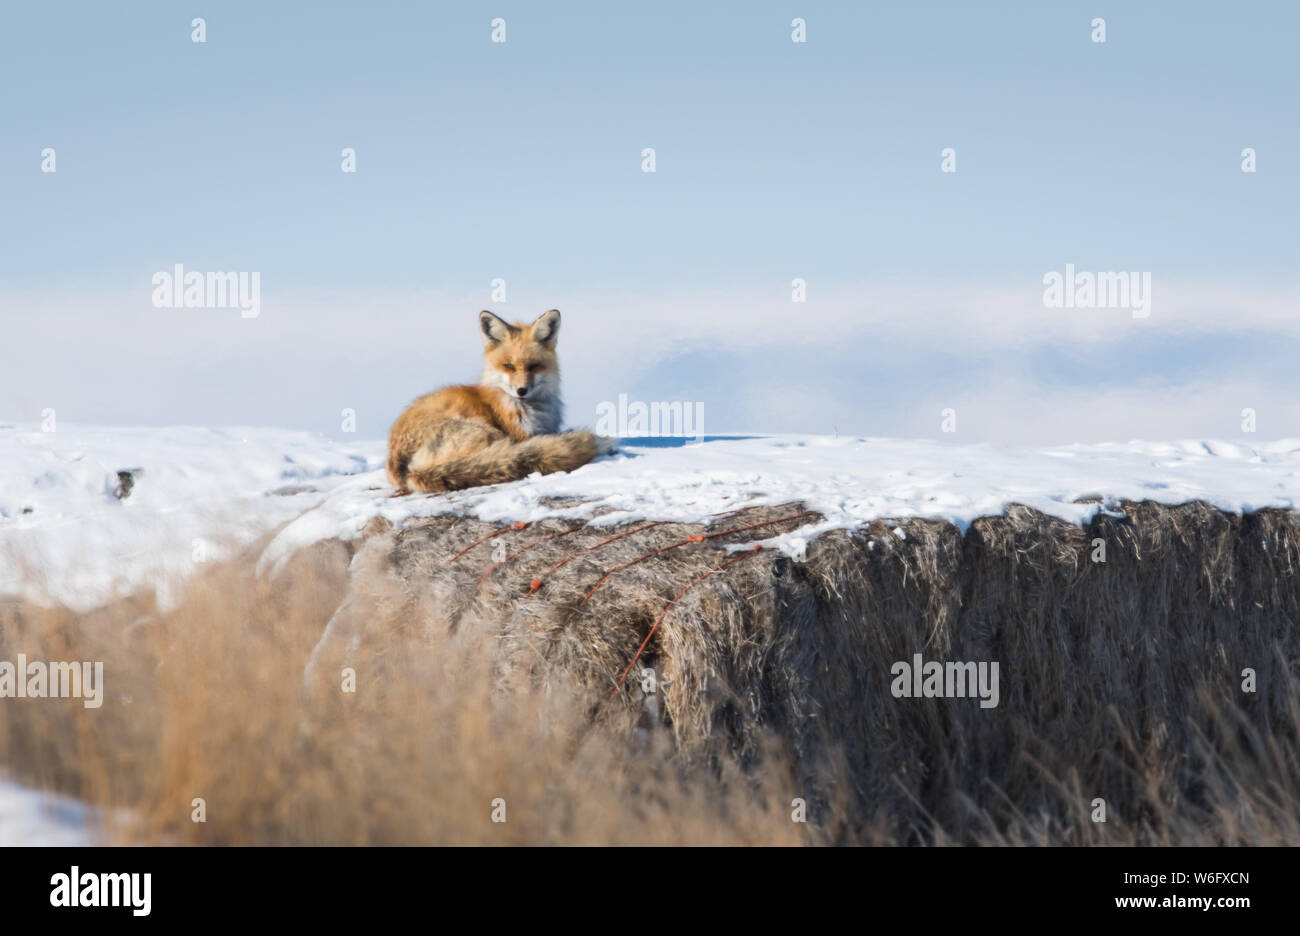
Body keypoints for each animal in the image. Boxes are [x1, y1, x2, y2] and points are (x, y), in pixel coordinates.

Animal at [386, 308, 615, 494]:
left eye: (533, 366)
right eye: (508, 366)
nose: (521, 390)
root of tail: (406, 470)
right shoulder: (520, 434)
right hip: (487, 433)